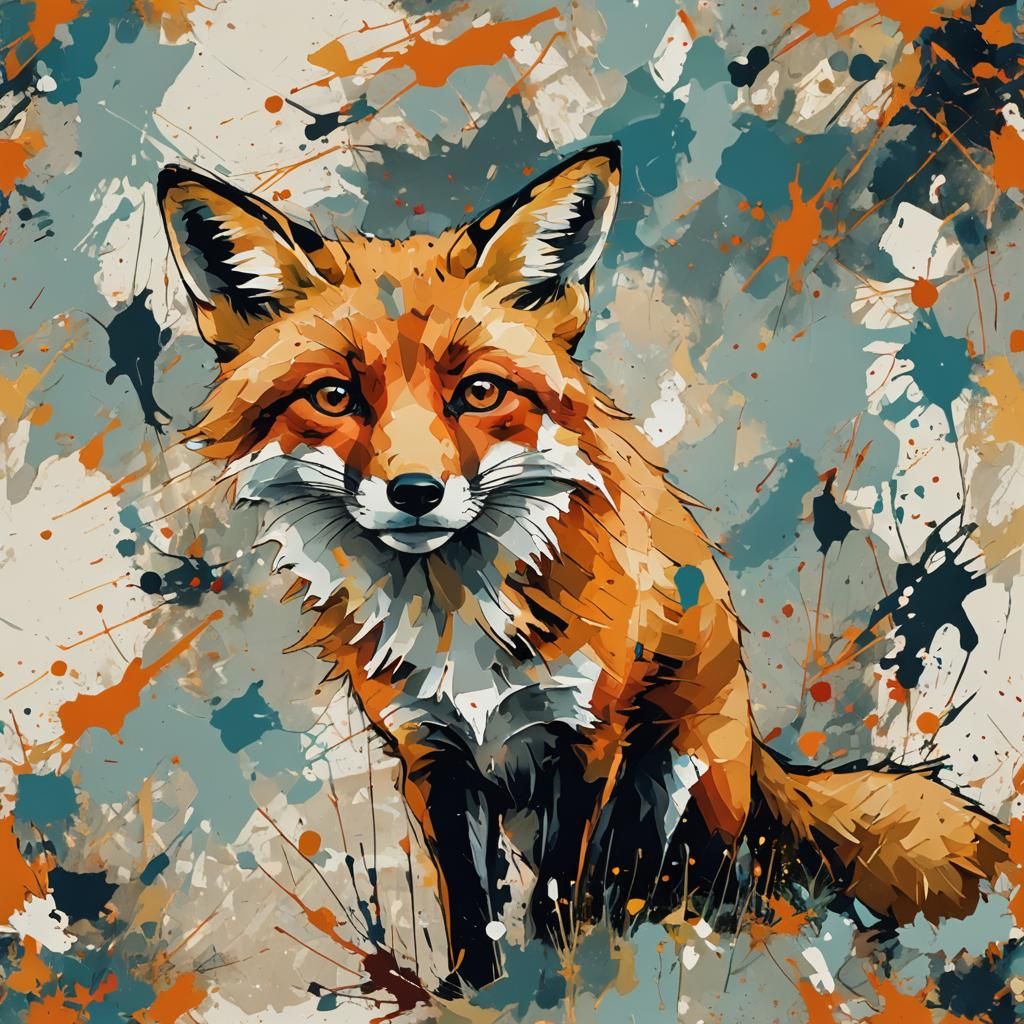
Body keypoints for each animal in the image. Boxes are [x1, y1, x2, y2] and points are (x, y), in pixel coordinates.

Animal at [157, 142, 1008, 994]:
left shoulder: (586, 737)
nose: (416, 493)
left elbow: (561, 897)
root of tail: (758, 745)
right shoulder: (432, 756)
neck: (460, 618)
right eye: (334, 397)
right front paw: (476, 994)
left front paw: (556, 985)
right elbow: (472, 904)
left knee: (697, 886)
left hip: (683, 776)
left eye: (479, 391)